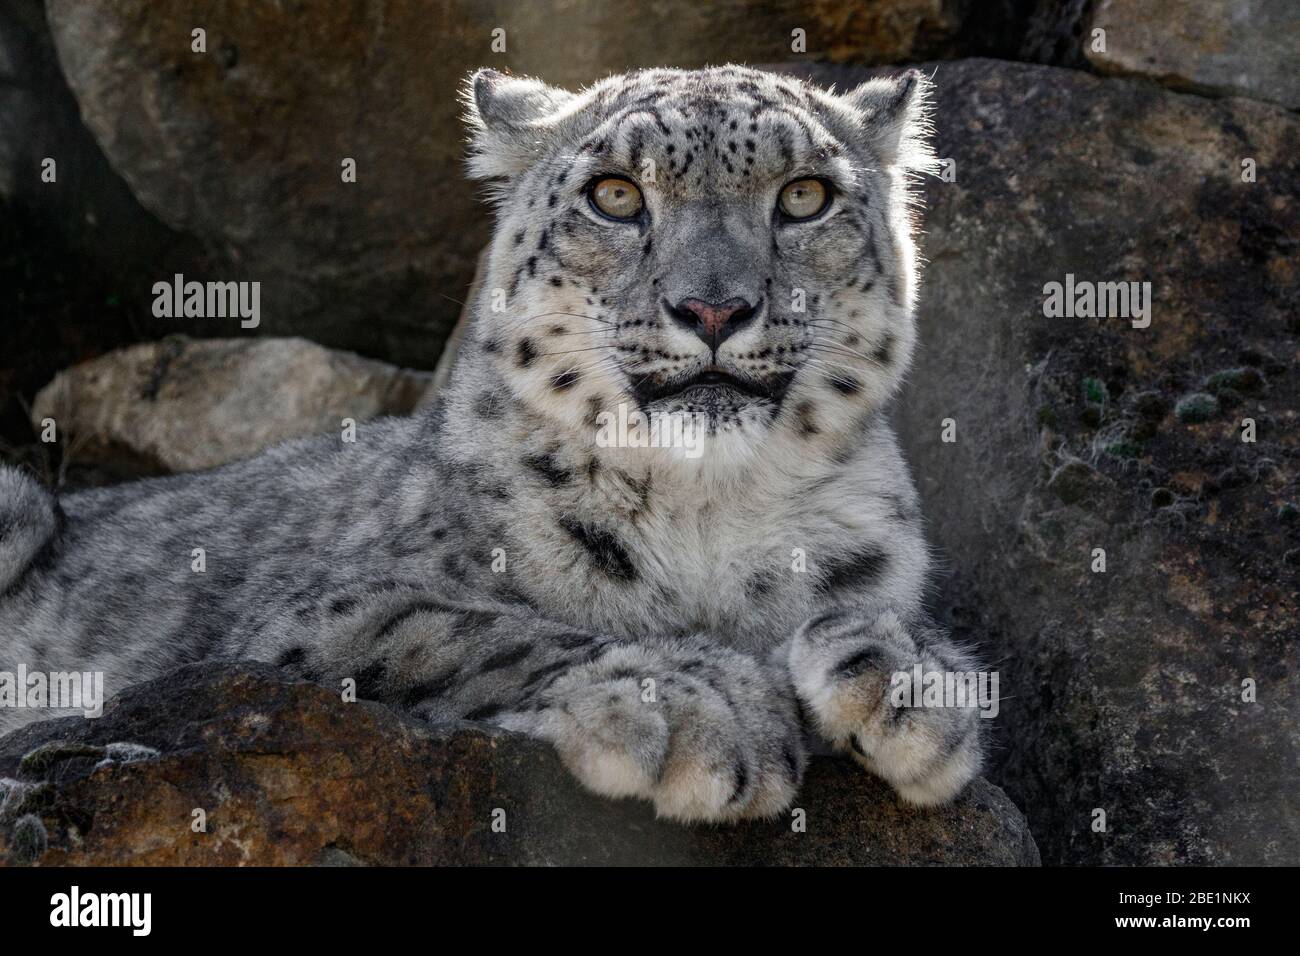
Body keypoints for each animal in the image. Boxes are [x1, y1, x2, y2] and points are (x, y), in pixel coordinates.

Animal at [0, 65, 985, 824]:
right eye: (615, 194)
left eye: (805, 195)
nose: (714, 307)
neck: (707, 512)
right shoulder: (318, 615)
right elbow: (478, 629)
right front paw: (705, 704)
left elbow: (893, 616)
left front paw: (901, 672)